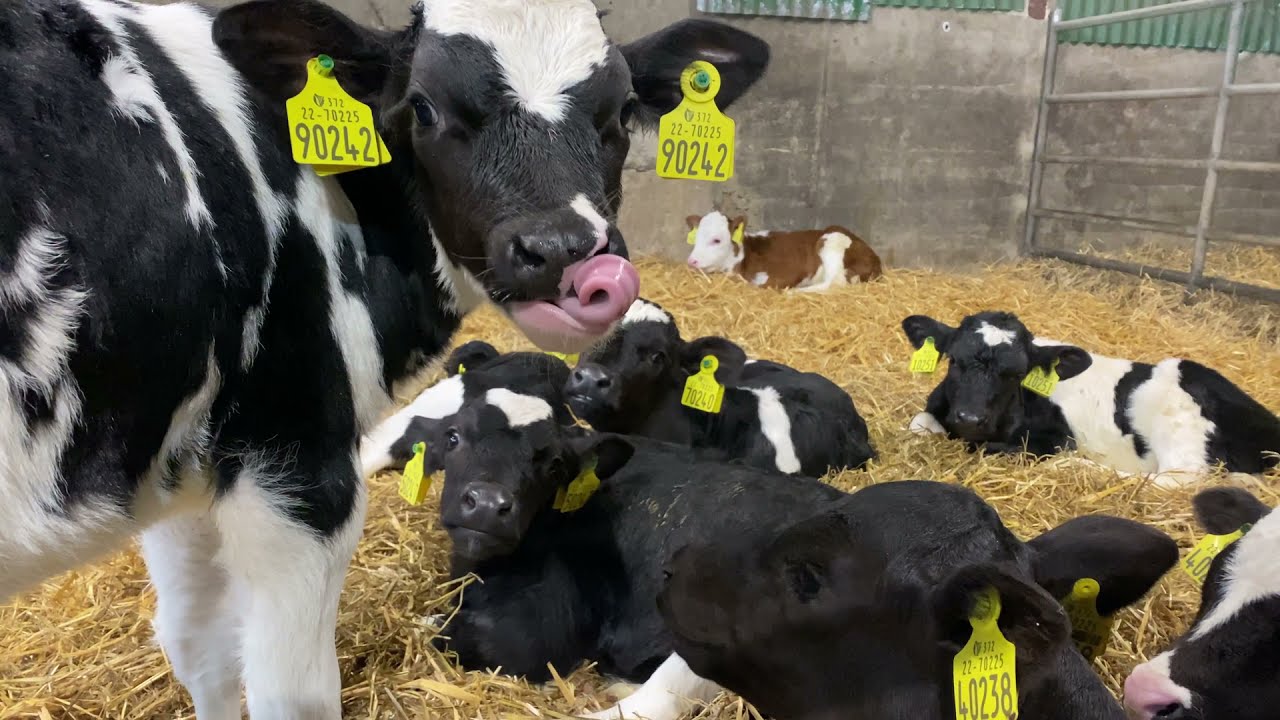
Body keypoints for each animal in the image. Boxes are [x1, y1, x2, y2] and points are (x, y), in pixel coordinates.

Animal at [0, 0, 769, 716]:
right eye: (422, 105)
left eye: (624, 109)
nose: (567, 255)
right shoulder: (299, 465)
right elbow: (294, 694)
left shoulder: (181, 467)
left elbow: (199, 649)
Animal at [685, 210, 882, 291]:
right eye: (696, 237)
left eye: (716, 240)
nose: (691, 261)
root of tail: (876, 259)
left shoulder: (787, 273)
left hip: (830, 241)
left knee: (834, 283)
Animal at [901, 312, 1280, 487]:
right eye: (954, 360)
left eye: (1015, 373)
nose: (969, 417)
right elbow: (919, 424)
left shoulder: (1055, 439)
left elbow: (991, 450)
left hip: (1177, 416)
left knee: (1173, 479)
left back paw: (1076, 465)